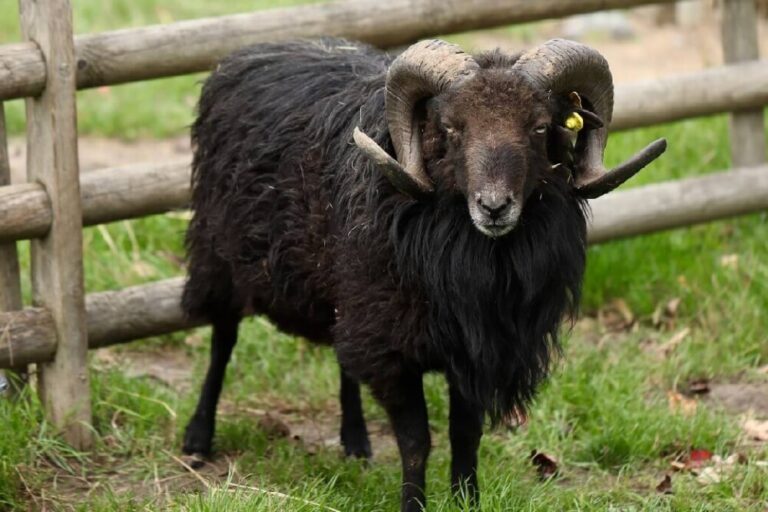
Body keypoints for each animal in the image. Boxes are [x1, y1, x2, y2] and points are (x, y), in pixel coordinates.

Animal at [181, 37, 666, 511]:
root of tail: (250, 51)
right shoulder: (391, 347)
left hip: (346, 290)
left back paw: (354, 440)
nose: (494, 207)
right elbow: (416, 442)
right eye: (451, 128)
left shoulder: (475, 346)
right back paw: (198, 438)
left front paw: (468, 501)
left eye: (540, 127)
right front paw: (414, 505)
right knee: (222, 342)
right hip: (219, 258)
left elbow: (465, 435)